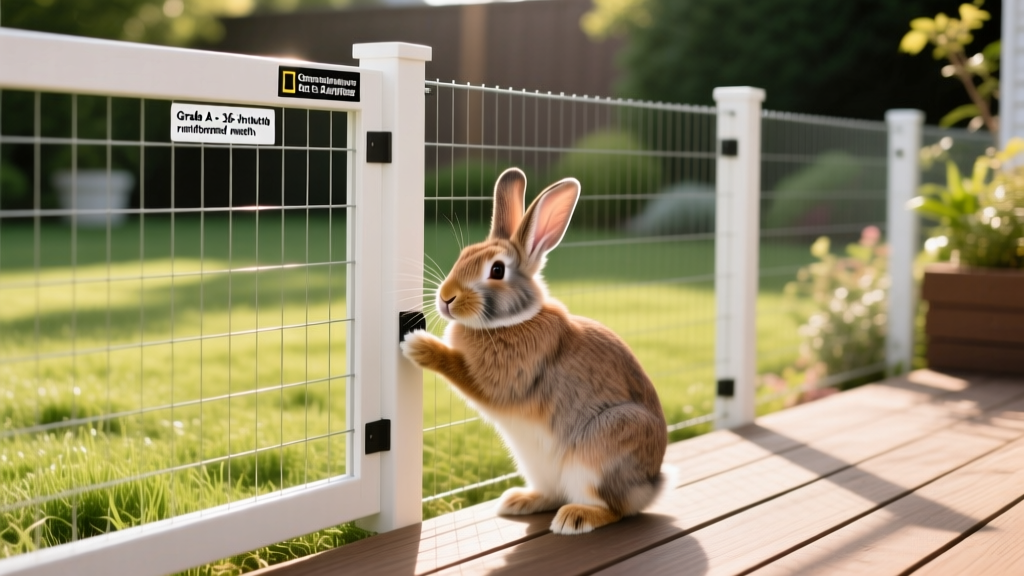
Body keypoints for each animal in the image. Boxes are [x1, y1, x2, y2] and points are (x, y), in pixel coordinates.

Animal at [401, 167, 668, 535]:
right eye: (464, 254)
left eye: (497, 270)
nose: (446, 298)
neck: (513, 321)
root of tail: (652, 484)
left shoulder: (502, 381)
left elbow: (460, 370)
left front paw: (417, 344)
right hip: (538, 466)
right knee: (553, 493)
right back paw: (518, 501)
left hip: (600, 452)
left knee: (615, 508)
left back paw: (576, 518)